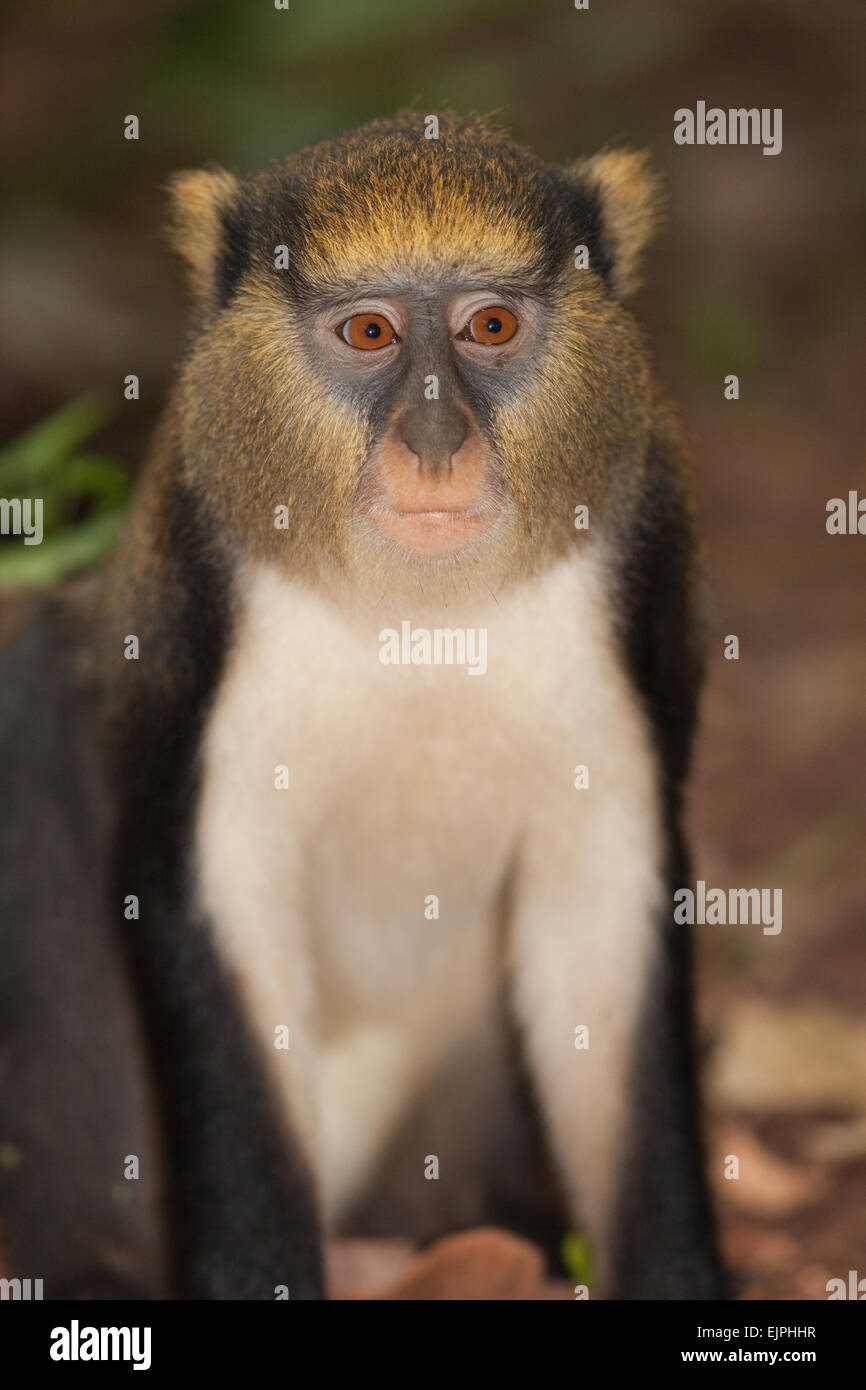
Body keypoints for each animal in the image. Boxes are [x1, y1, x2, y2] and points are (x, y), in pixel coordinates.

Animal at [0, 111, 725, 1300]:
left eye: (489, 325)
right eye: (372, 332)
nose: (434, 443)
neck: (420, 611)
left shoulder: (645, 548)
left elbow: (604, 918)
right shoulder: (196, 578)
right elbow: (214, 896)